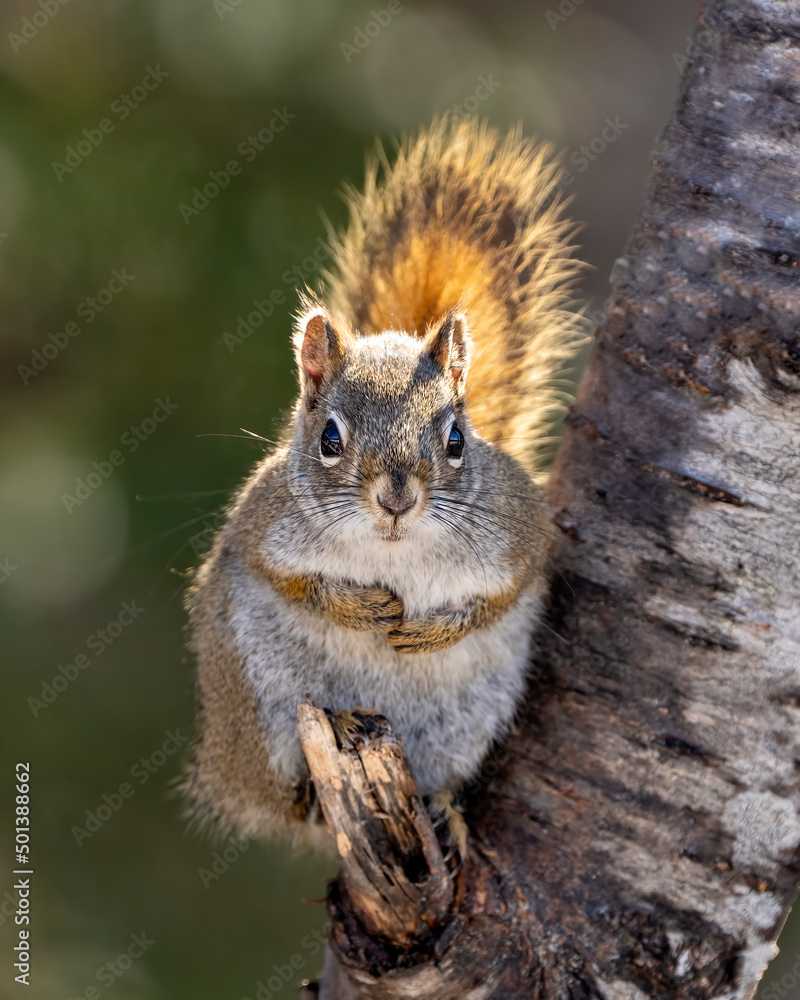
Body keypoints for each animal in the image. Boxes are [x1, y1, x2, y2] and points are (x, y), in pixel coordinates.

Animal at [184, 118, 585, 850]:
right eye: (329, 438)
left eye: (456, 440)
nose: (397, 500)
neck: (395, 552)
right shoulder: (264, 525)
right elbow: (290, 579)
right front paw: (356, 607)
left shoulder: (521, 535)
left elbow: (504, 595)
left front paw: (436, 629)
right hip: (261, 711)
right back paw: (313, 786)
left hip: (462, 726)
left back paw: (445, 809)